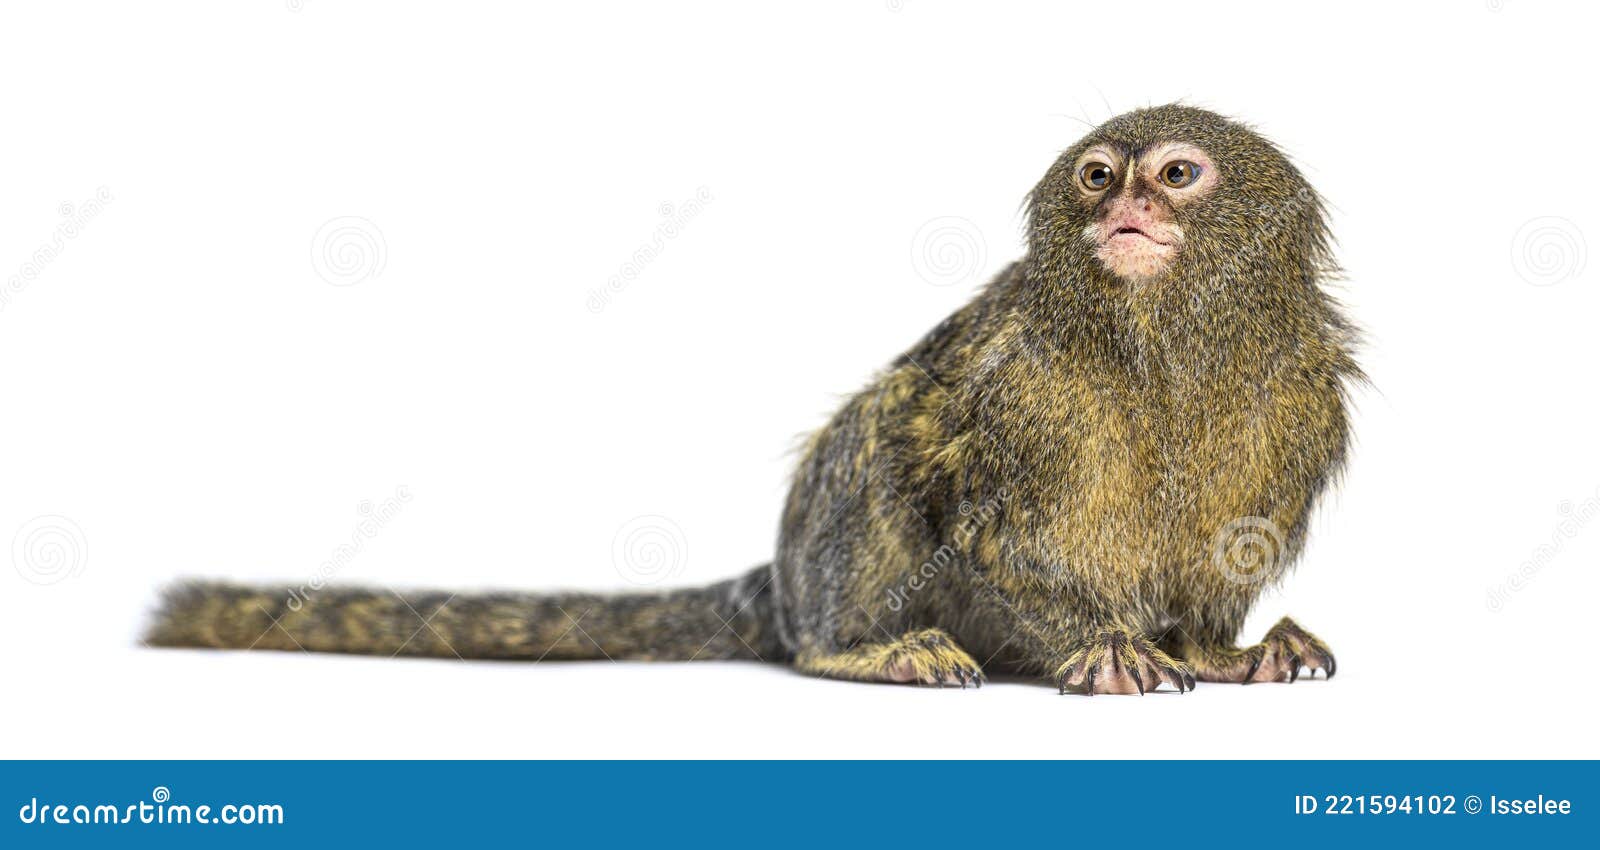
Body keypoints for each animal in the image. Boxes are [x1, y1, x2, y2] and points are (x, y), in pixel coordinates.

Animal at [146, 104, 1357, 695]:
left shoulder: (1297, 399)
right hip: (834, 550)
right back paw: (867, 650)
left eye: (1178, 174)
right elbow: (982, 532)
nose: (1123, 212)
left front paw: (1221, 651)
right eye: (1098, 176)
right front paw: (1105, 648)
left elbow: (1221, 564)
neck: (1166, 350)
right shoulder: (1018, 393)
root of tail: (776, 588)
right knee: (876, 442)